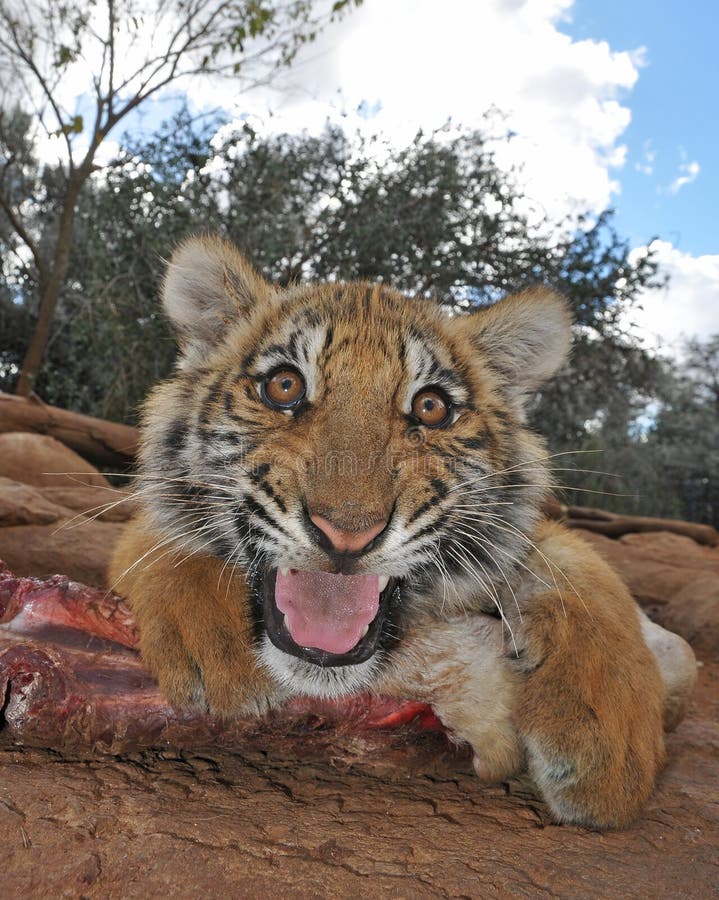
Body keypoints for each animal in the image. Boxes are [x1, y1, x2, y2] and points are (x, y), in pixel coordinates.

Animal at [110, 234, 697, 829]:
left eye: (430, 407)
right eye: (284, 386)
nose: (346, 534)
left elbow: (582, 566)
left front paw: (608, 748)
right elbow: (153, 536)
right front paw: (213, 653)